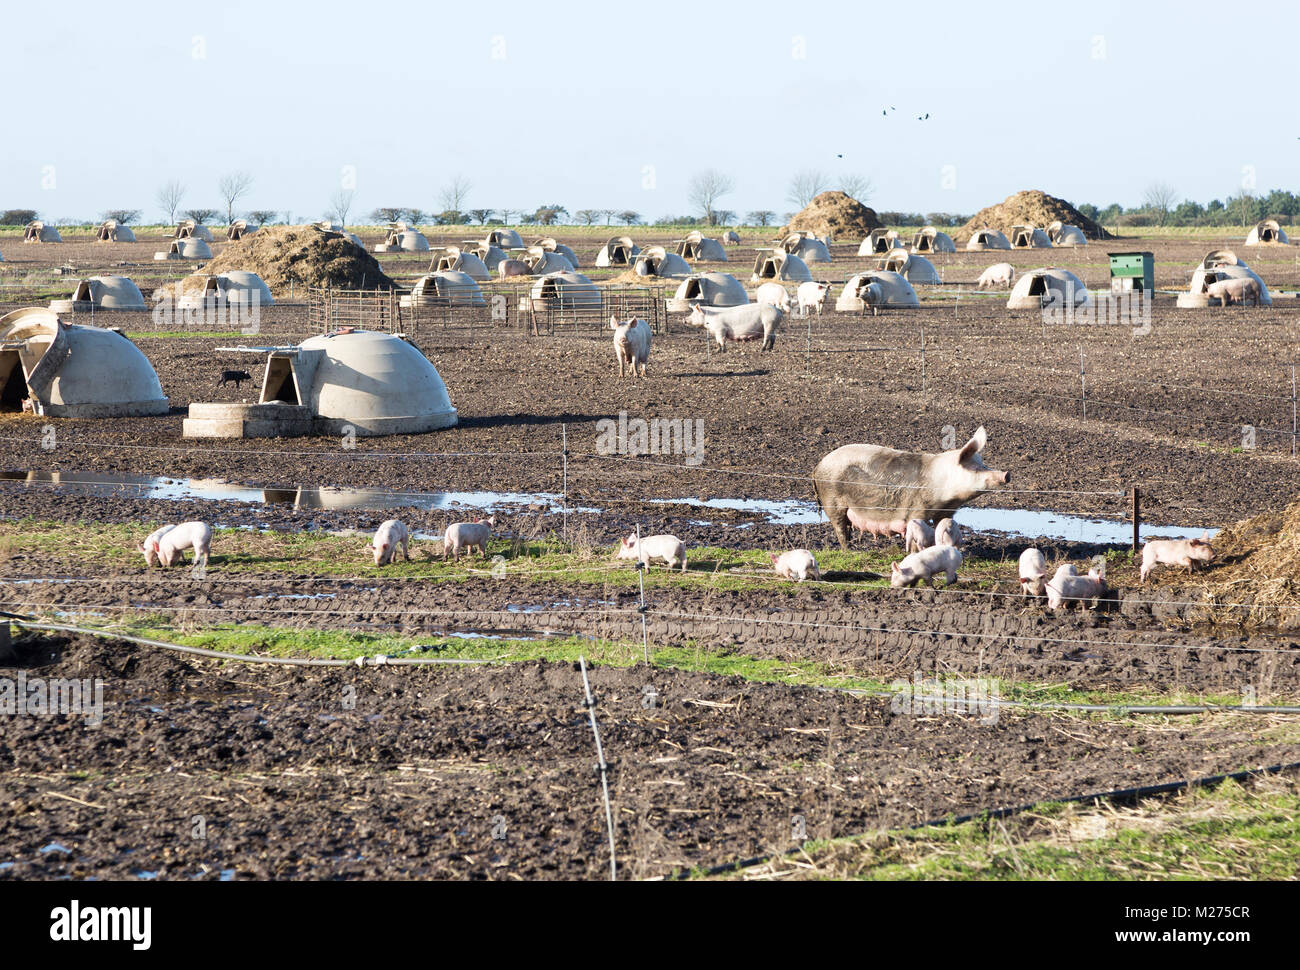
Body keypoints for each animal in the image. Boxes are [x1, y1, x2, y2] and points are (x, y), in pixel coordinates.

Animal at [812, 426, 1010, 550]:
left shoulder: (946, 511)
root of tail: (818, 465)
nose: (1006, 474)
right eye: (976, 467)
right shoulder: (917, 508)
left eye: (983, 464)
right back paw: (851, 551)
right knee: (839, 529)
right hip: (832, 500)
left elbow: (942, 528)